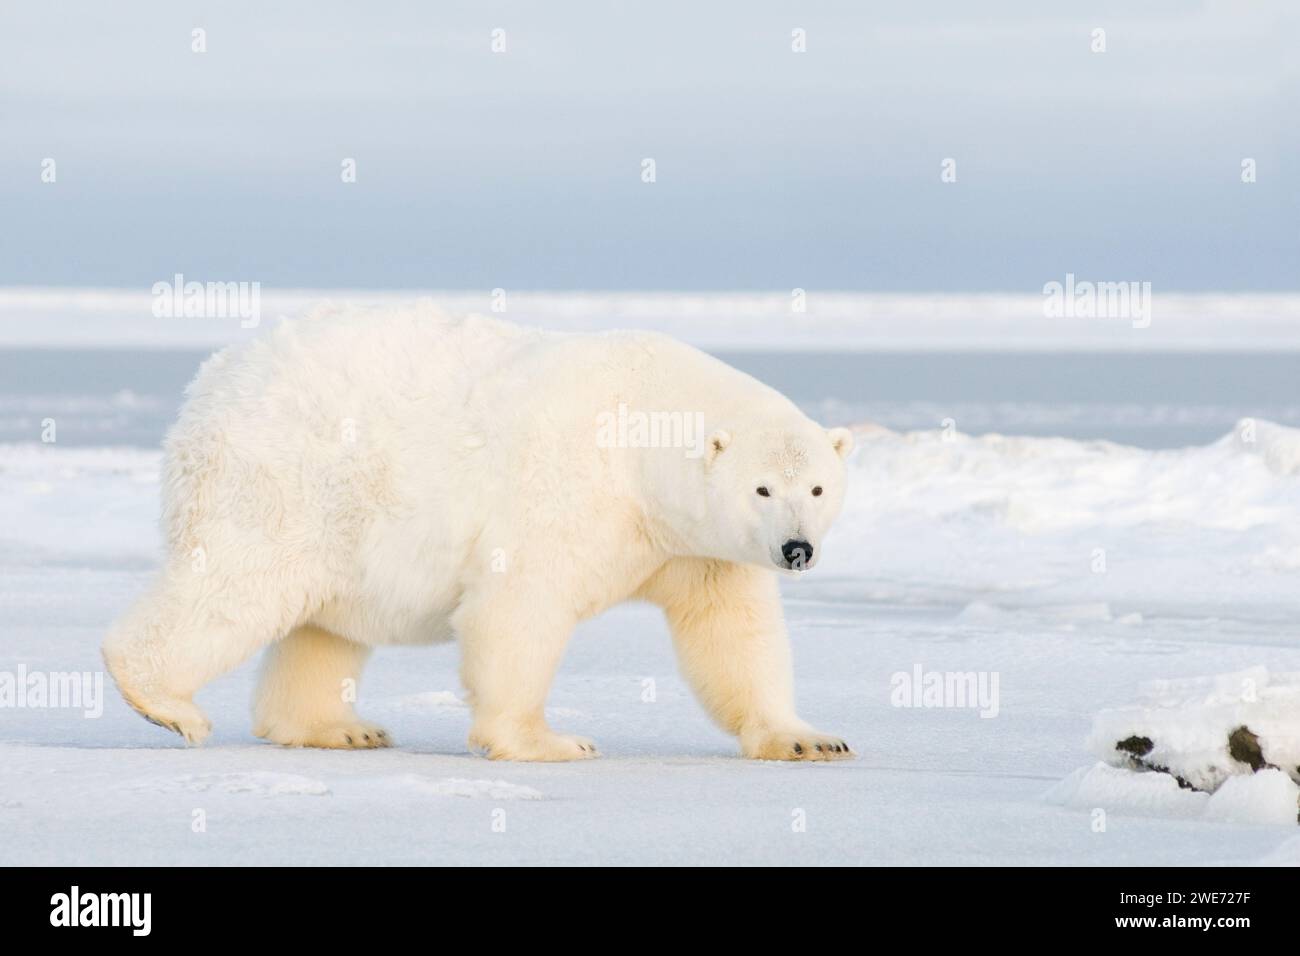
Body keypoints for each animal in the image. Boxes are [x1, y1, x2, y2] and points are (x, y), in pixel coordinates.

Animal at [102, 302, 855, 761]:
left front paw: (809, 740)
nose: (797, 549)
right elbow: (521, 604)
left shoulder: (697, 546)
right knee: (237, 586)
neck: (644, 431)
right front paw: (553, 741)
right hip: (285, 480)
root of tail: (213, 380)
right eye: (762, 488)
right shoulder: (571, 488)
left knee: (323, 627)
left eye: (818, 487)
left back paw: (341, 727)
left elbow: (732, 631)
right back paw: (165, 701)